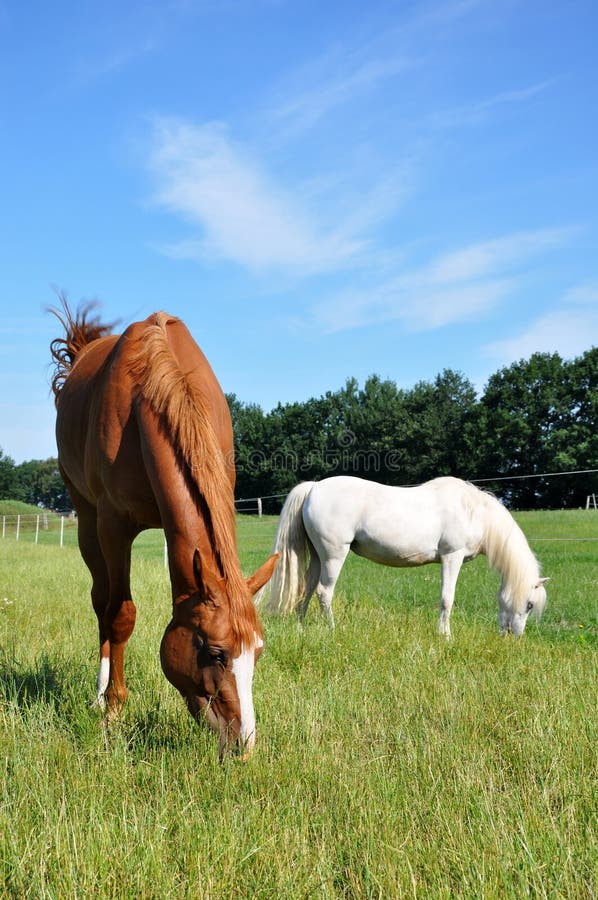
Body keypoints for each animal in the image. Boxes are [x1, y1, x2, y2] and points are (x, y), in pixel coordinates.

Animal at [50, 302, 277, 758]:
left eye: (257, 654)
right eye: (215, 652)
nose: (244, 745)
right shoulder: (113, 525)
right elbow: (120, 614)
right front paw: (114, 711)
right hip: (86, 519)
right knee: (101, 602)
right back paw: (99, 694)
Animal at [260, 475, 548, 636]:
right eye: (529, 604)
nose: (514, 636)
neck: (474, 512)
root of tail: (313, 488)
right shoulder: (451, 557)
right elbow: (447, 599)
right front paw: (445, 636)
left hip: (319, 556)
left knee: (307, 588)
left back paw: (300, 627)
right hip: (333, 555)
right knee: (323, 592)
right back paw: (332, 630)